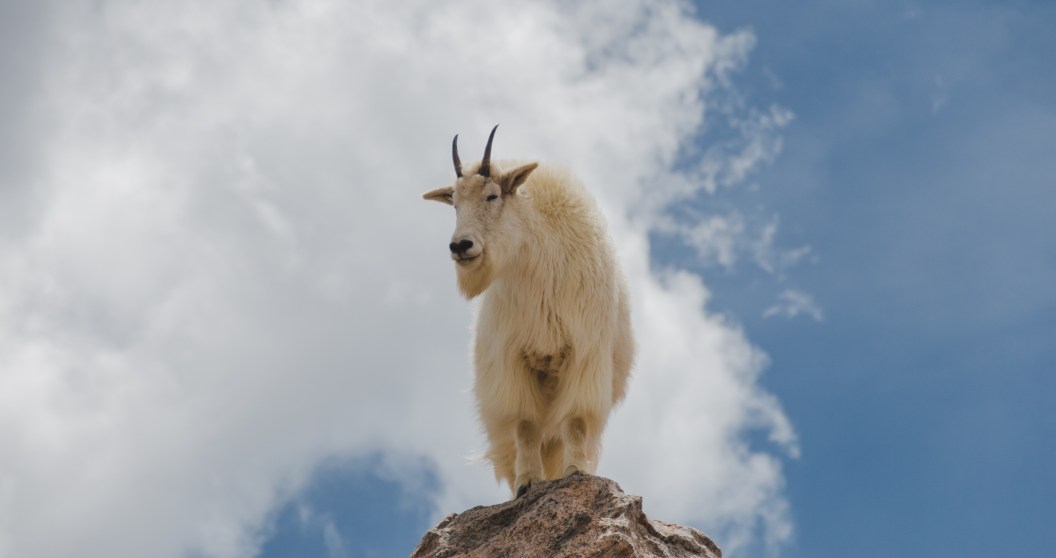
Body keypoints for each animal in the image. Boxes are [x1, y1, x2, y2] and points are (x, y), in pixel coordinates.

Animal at [423, 125, 634, 498]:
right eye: (455, 204)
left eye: (492, 196)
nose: (460, 247)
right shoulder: (513, 362)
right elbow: (525, 425)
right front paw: (527, 483)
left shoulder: (583, 355)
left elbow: (575, 422)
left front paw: (576, 471)